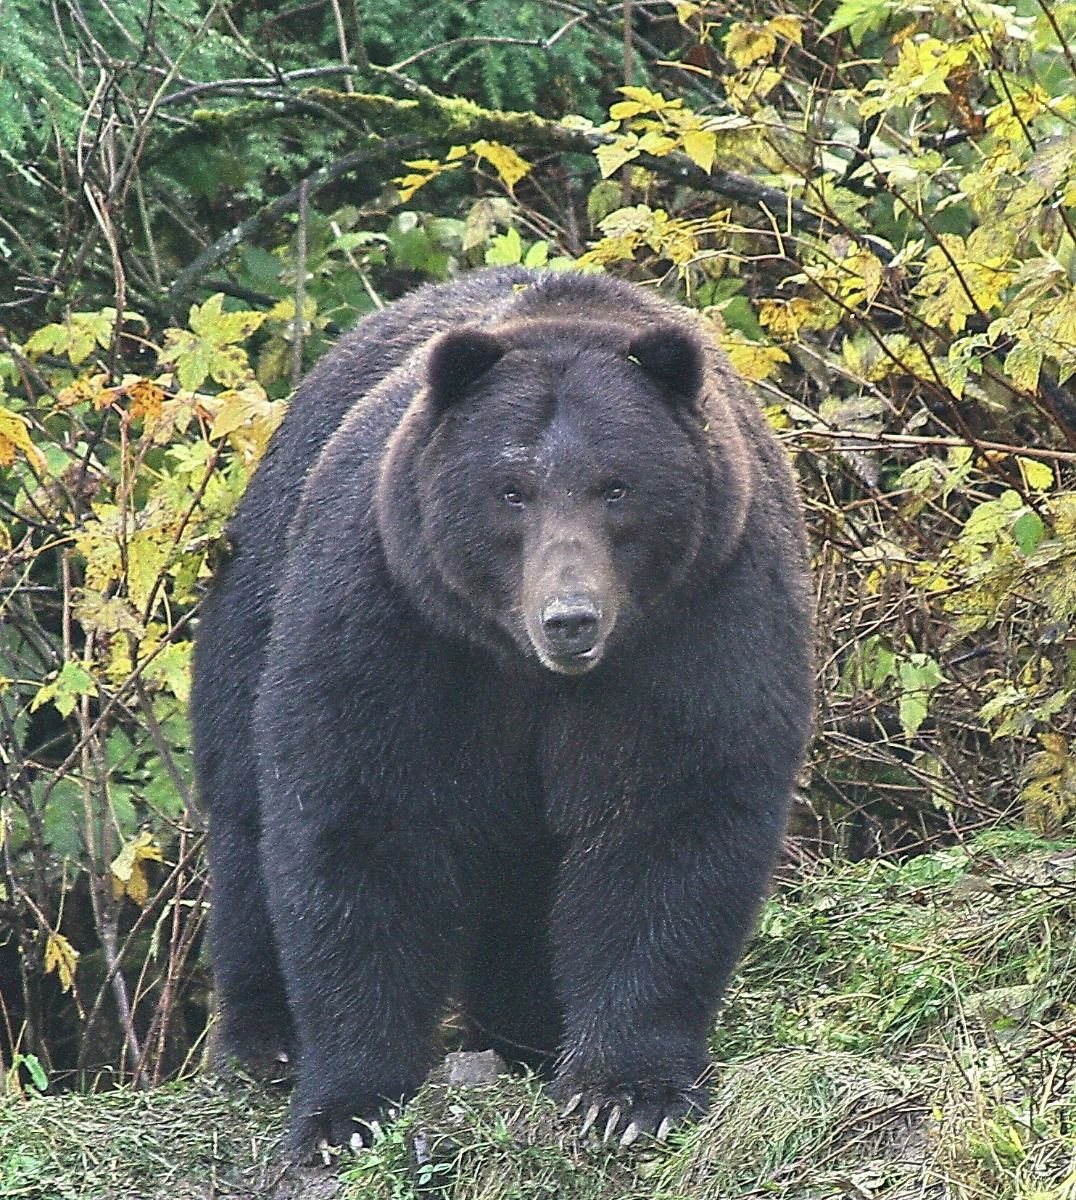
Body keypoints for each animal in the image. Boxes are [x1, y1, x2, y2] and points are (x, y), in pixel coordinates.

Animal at [190, 266, 814, 1157]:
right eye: (511, 491)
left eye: (616, 486)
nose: (570, 618)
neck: (525, 668)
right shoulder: (393, 615)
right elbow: (359, 816)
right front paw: (349, 1105)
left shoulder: (704, 616)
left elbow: (671, 815)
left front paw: (627, 1092)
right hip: (264, 566)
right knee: (245, 799)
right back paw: (262, 1037)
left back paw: (523, 1029)